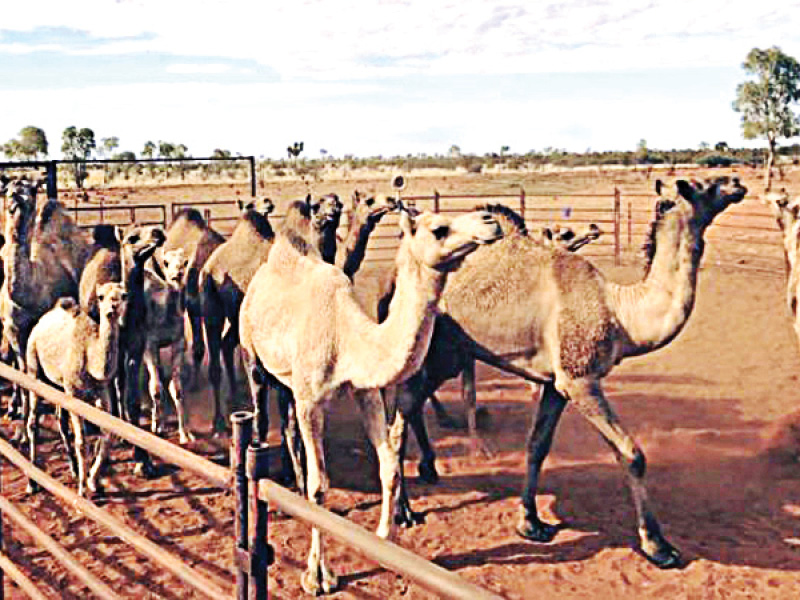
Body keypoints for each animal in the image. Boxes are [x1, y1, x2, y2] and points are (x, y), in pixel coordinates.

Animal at [26, 282, 128, 496]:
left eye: (124, 295)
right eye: (101, 296)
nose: (112, 309)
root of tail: (40, 322)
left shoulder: (102, 391)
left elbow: (108, 434)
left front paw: (93, 481)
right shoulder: (73, 391)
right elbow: (82, 442)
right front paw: (82, 488)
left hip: (57, 385)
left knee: (60, 420)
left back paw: (72, 469)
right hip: (33, 364)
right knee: (33, 422)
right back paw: (32, 482)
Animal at [238, 207, 502, 595]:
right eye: (438, 229)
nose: (490, 220)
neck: (347, 338)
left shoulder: (365, 391)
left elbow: (389, 466)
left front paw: (385, 539)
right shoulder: (311, 400)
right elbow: (320, 488)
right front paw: (317, 576)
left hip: (287, 379)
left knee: (288, 426)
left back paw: (293, 487)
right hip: (252, 353)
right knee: (260, 412)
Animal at [389, 177, 747, 570]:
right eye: (704, 186)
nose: (736, 183)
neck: (619, 310)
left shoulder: (556, 383)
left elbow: (537, 445)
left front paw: (530, 522)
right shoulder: (580, 378)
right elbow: (631, 453)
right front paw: (658, 546)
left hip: (448, 356)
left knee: (413, 406)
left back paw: (428, 471)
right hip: (426, 347)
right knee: (399, 416)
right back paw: (404, 511)